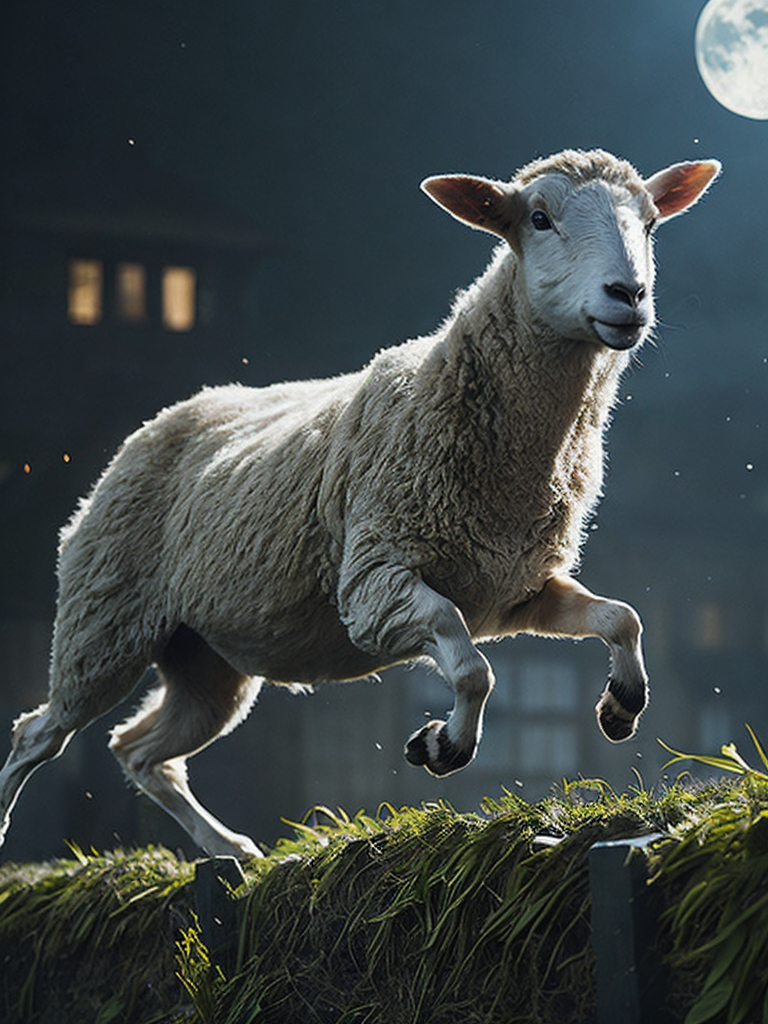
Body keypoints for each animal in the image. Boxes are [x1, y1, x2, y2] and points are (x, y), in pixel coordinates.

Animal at [0, 148, 719, 859]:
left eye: (651, 222)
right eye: (539, 218)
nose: (629, 296)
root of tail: (158, 420)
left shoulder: (517, 591)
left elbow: (623, 619)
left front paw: (621, 706)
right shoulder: (376, 581)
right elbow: (472, 668)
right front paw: (443, 745)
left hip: (203, 658)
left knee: (142, 751)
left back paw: (232, 848)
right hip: (104, 621)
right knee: (39, 733)